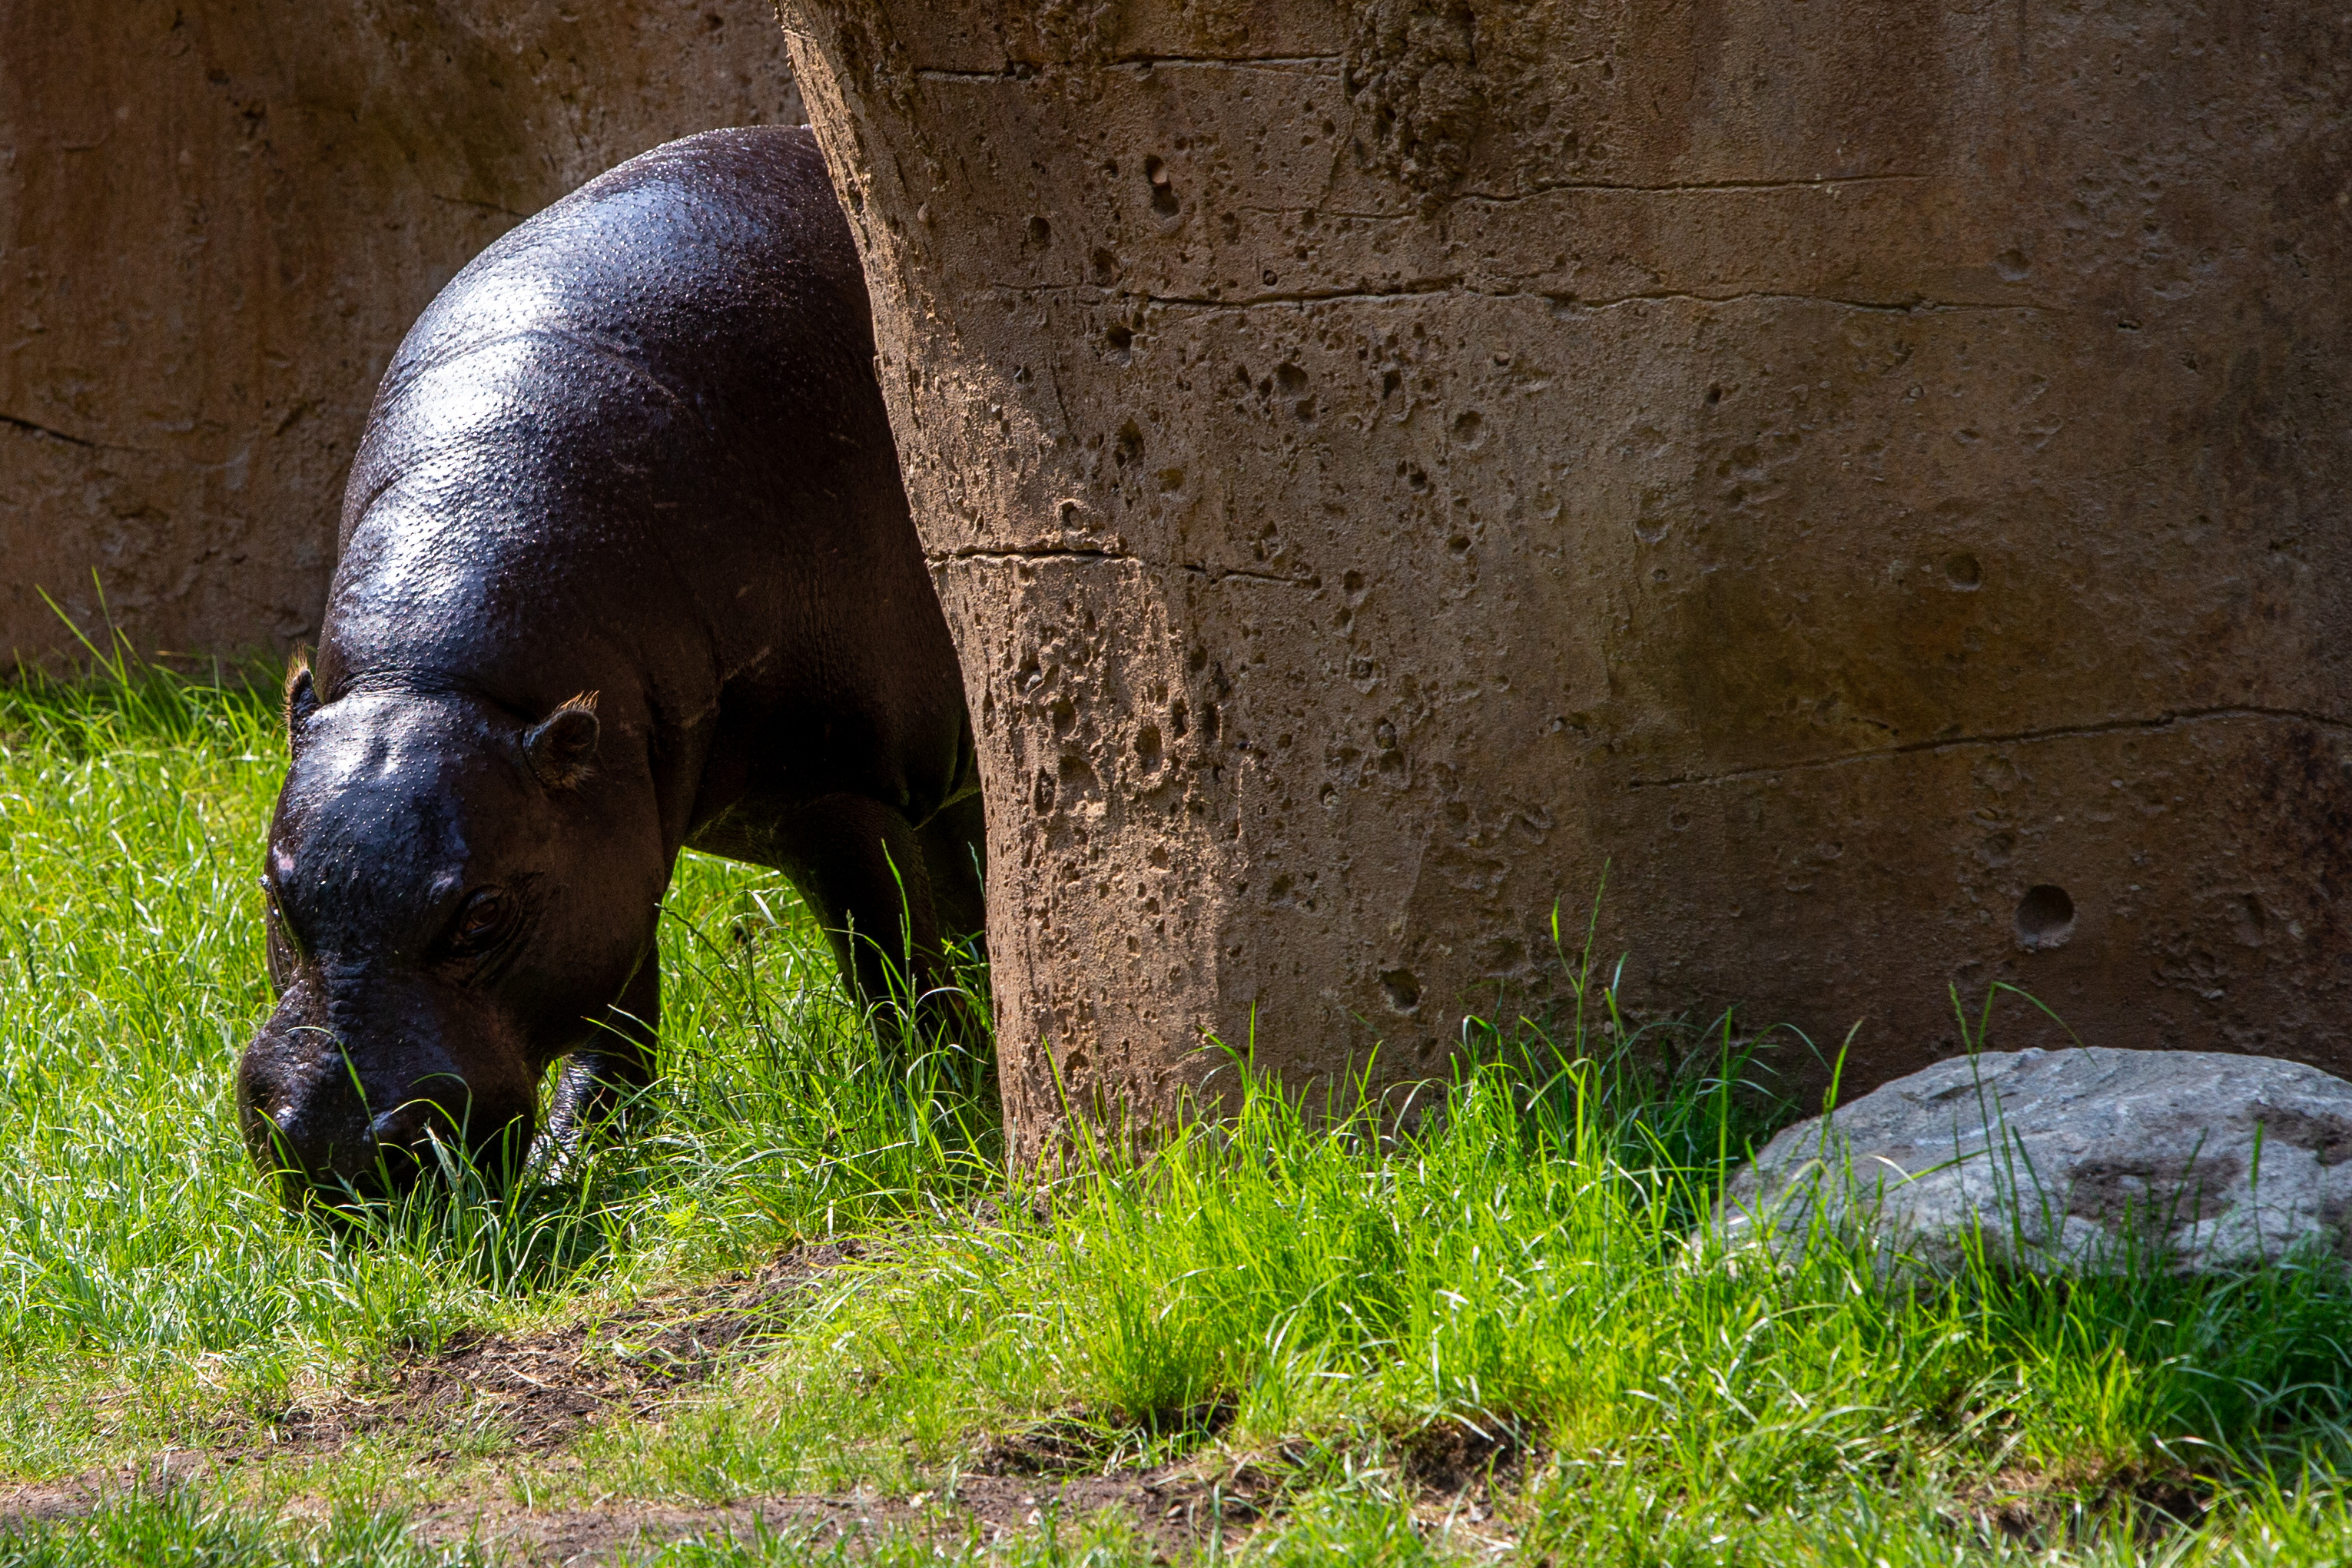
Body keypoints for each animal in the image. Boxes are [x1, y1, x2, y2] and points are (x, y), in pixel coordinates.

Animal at [238, 126, 985, 1202]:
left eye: (480, 915)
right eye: (277, 891)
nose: (339, 1148)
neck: (439, 683)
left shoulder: (835, 784)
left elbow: (888, 957)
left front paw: (949, 1124)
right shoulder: (601, 819)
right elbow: (619, 1001)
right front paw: (576, 1162)